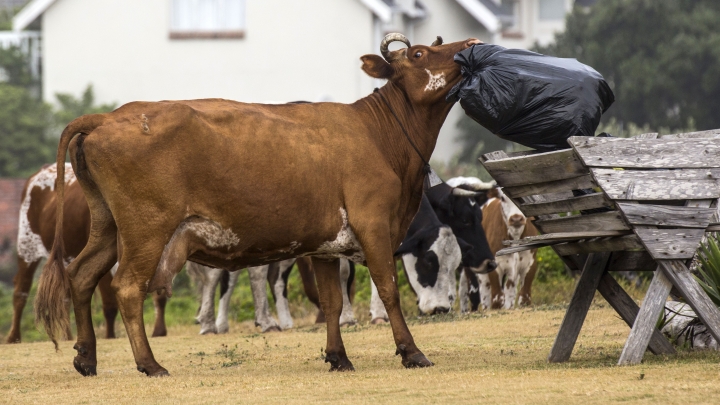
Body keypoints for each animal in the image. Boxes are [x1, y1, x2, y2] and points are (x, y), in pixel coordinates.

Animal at [7, 164, 167, 343]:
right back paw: (14, 337)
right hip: (26, 246)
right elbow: (110, 305)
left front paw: (159, 331)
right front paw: (110, 336)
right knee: (21, 290)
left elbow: (160, 296)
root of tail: (41, 170)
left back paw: (67, 337)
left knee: (64, 295)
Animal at [35, 33, 483, 376]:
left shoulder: (325, 245)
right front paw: (412, 352)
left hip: (108, 226)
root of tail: (109, 116)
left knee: (81, 275)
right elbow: (387, 289)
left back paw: (87, 358)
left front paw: (338, 357)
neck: (380, 134)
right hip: (147, 229)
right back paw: (149, 364)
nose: (471, 44)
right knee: (127, 287)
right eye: (420, 53)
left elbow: (333, 301)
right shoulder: (373, 225)